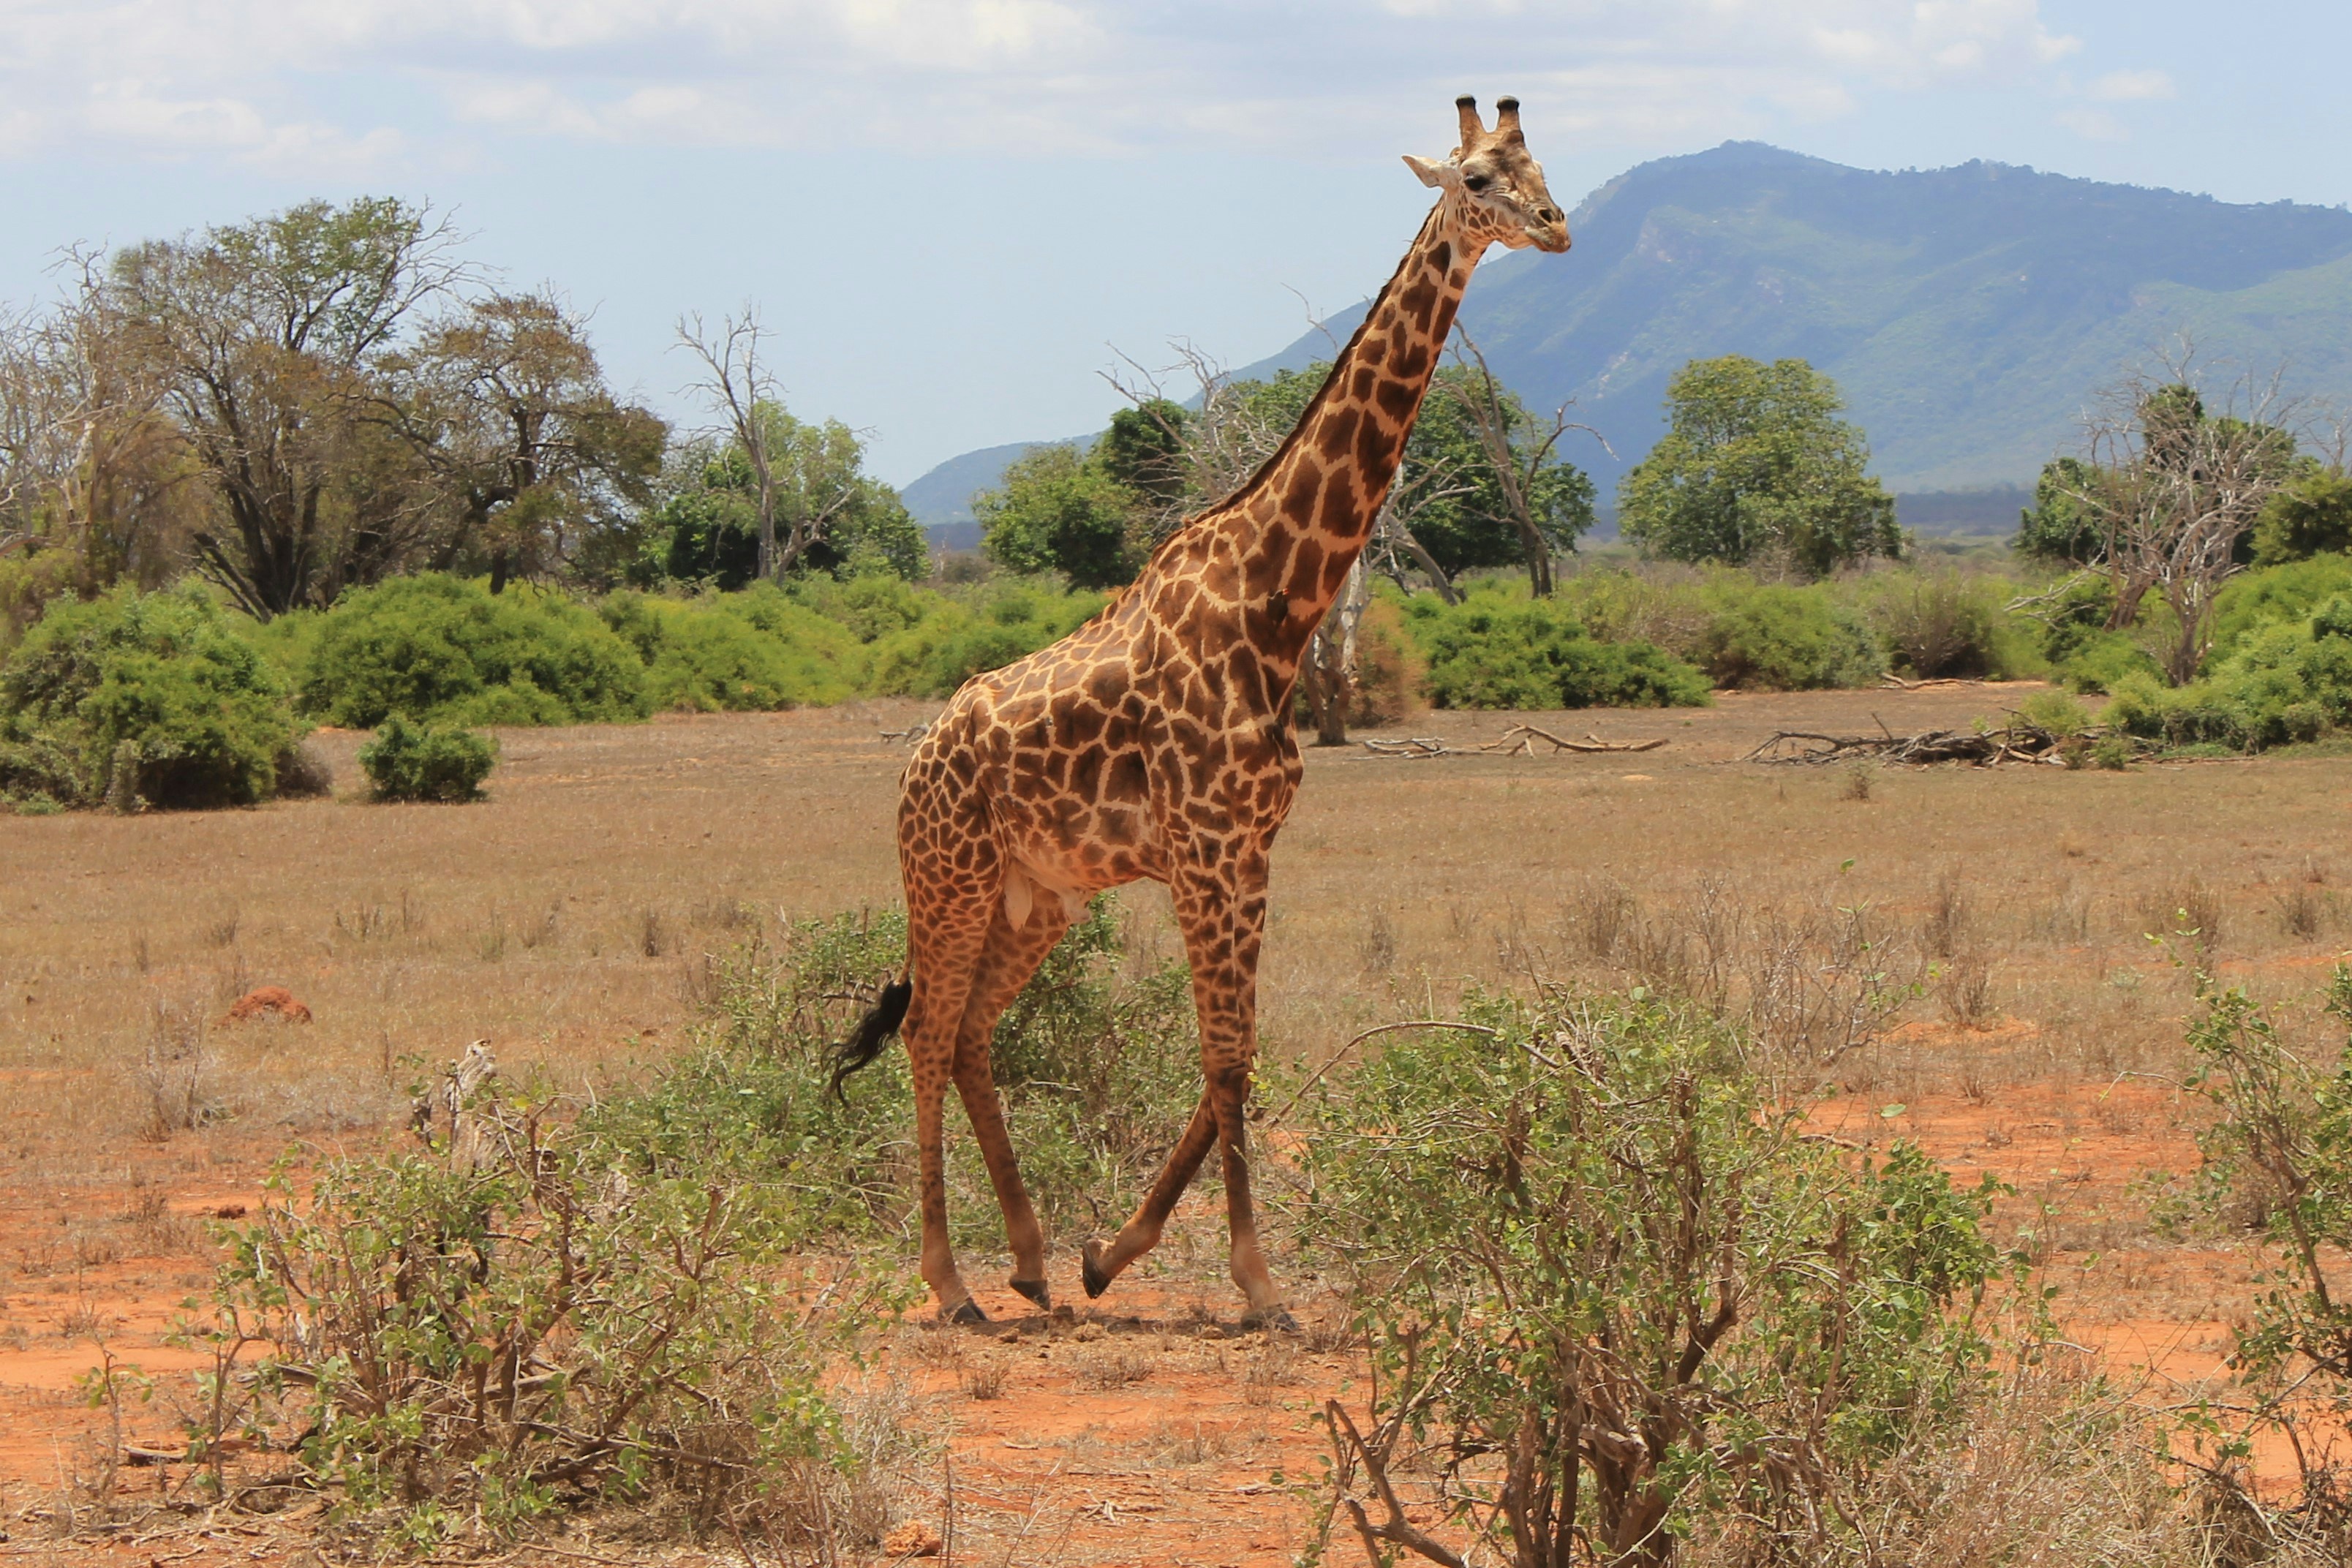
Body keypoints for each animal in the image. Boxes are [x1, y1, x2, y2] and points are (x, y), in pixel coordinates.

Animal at [832, 95, 1571, 1326]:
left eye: (1545, 168)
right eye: (1476, 178)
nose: (1557, 228)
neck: (1276, 599)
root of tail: (915, 760)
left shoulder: (1250, 849)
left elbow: (1237, 1053)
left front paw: (1108, 1253)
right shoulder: (1207, 850)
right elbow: (1225, 1057)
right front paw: (1257, 1281)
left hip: (1041, 896)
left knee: (975, 1032)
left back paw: (1029, 1261)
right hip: (949, 876)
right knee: (930, 1032)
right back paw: (953, 1282)